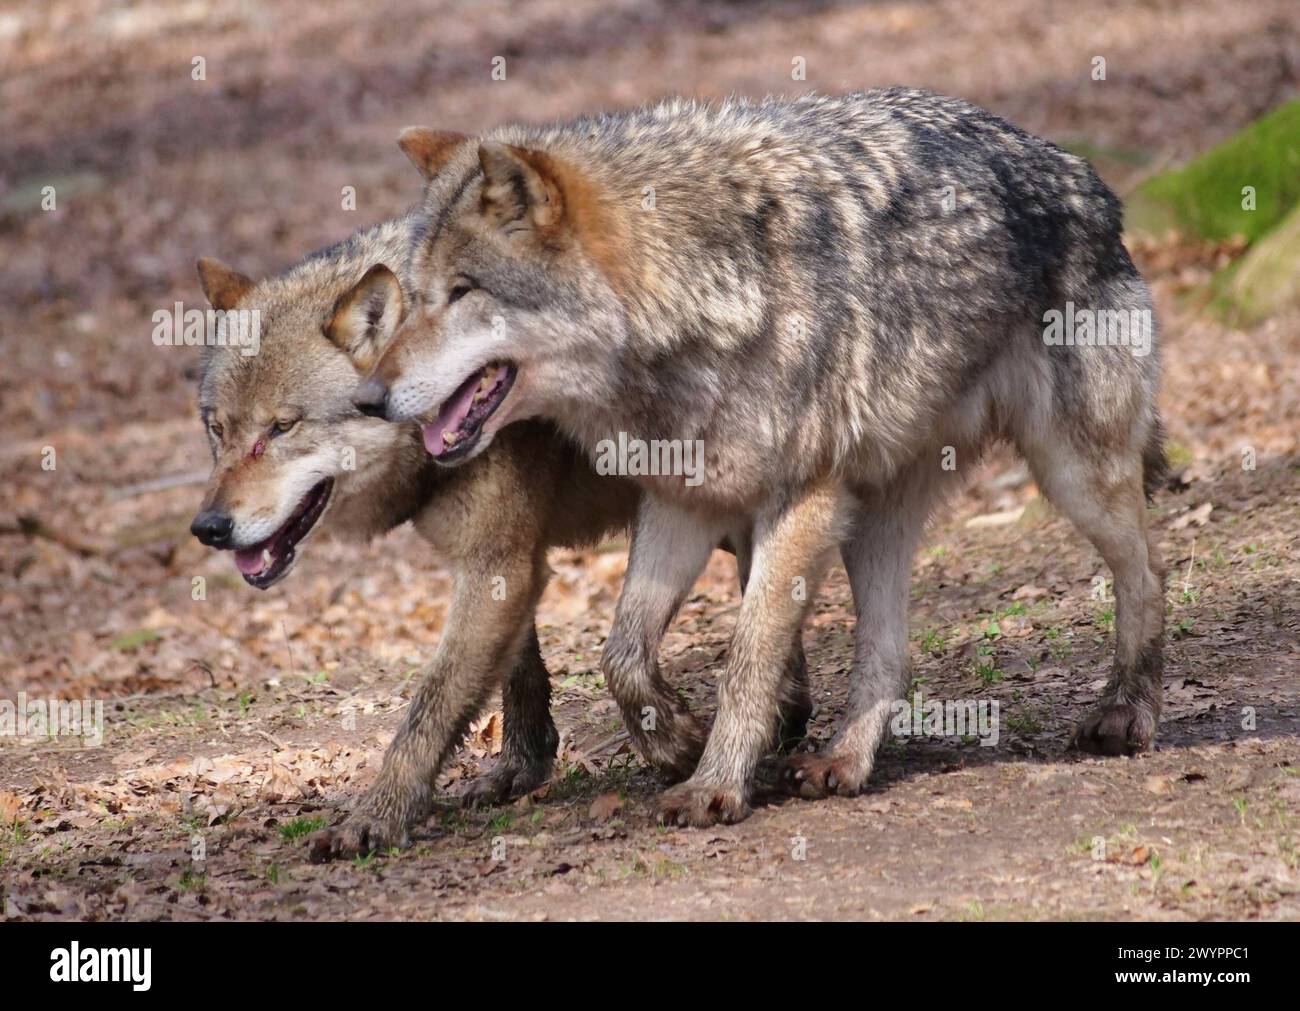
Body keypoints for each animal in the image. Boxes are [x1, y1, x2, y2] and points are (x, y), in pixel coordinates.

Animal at [189, 136, 812, 855]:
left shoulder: (499, 564)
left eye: (282, 427)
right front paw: (522, 766)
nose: (207, 528)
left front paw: (376, 815)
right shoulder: (507, 562)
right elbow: (521, 674)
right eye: (217, 430)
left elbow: (427, 711)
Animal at [359, 88, 1168, 827]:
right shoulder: (685, 499)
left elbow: (747, 659)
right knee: (890, 655)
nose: (369, 396)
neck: (698, 289)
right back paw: (844, 761)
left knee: (1148, 572)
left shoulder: (799, 502)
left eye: (462, 292)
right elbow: (622, 654)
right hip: (874, 520)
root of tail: (1081, 171)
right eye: (413, 298)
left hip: (1073, 474)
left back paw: (1127, 712)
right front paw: (676, 742)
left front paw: (713, 786)